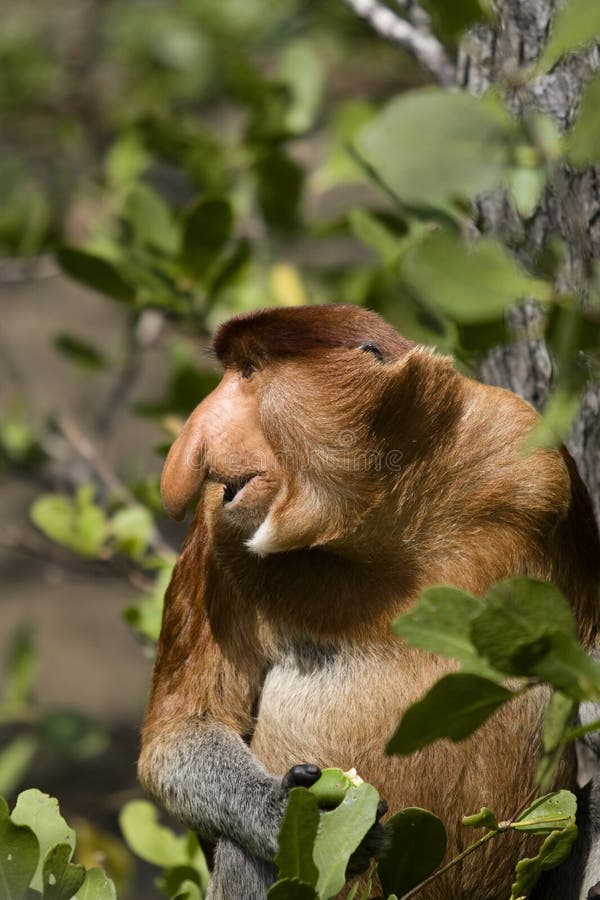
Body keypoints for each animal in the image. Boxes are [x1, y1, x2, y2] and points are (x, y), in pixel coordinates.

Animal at [138, 304, 600, 899]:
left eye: (248, 371)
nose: (190, 448)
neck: (384, 521)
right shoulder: (218, 536)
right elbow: (177, 738)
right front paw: (285, 811)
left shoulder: (534, 459)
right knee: (242, 850)